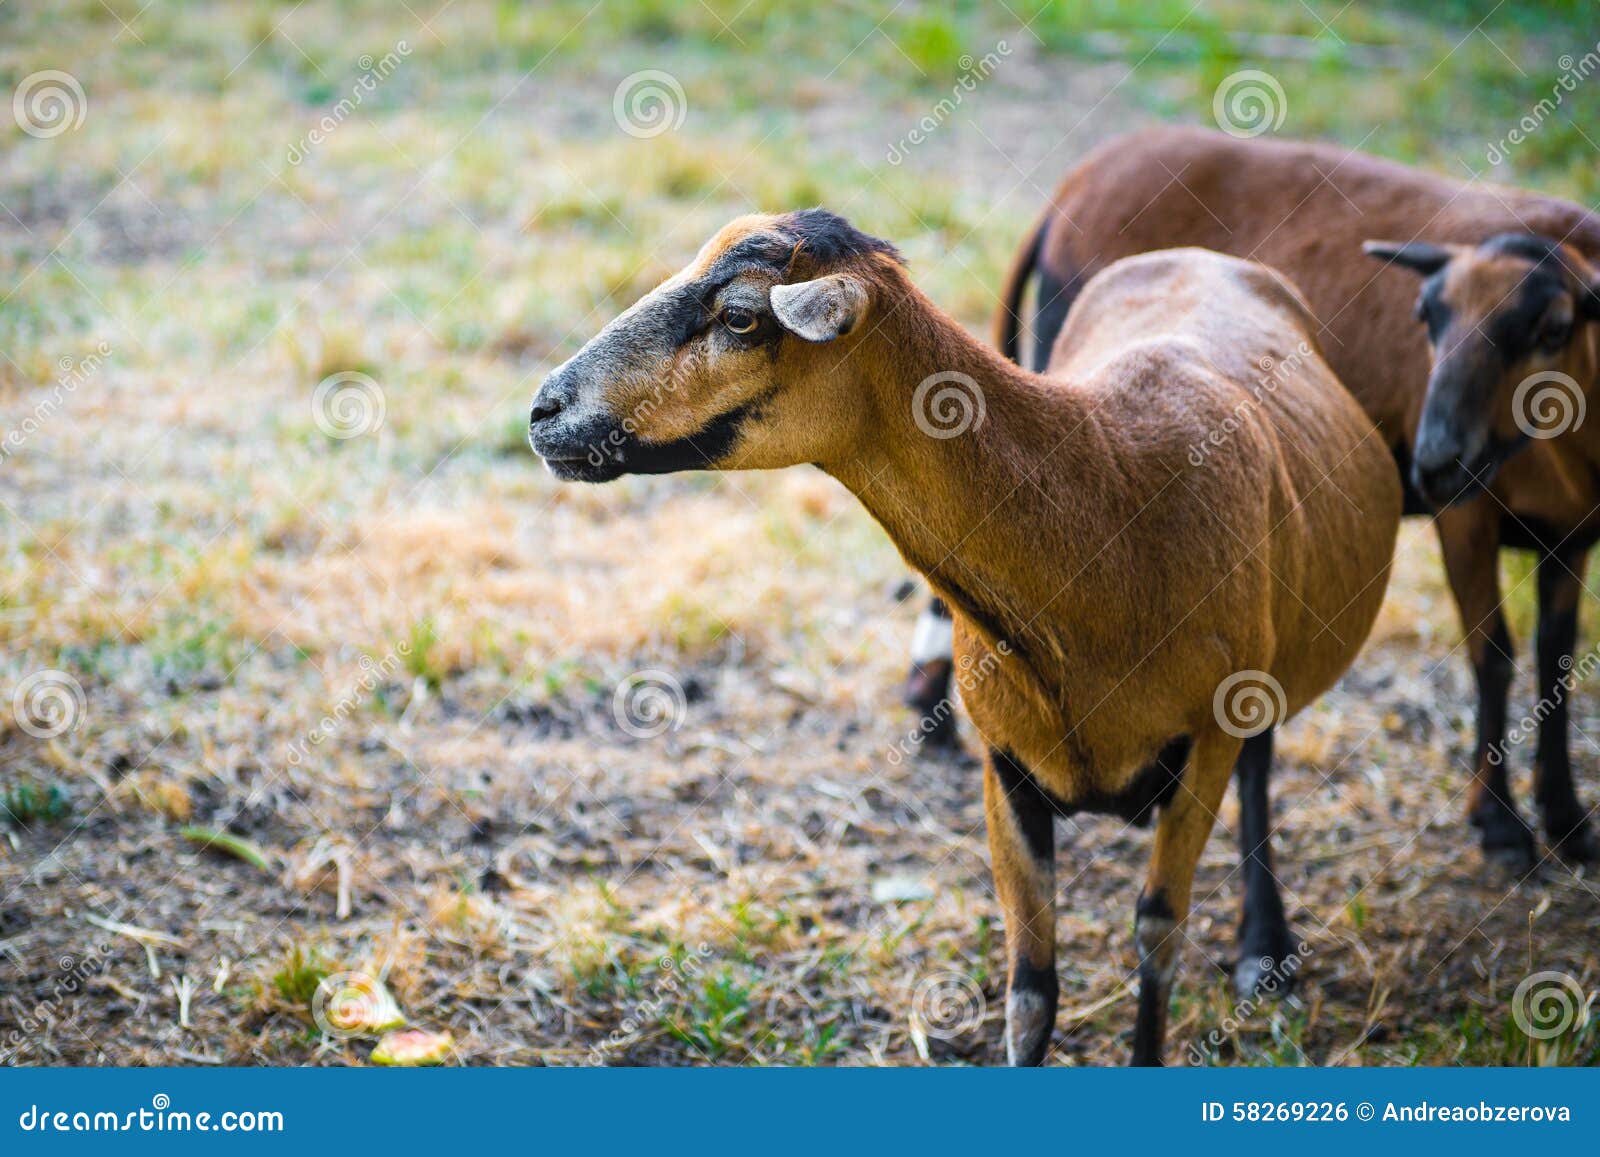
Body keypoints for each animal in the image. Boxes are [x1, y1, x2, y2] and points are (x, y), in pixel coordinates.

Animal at [526, 209, 1401, 1064]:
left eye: (740, 316)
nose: (543, 411)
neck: (1111, 508)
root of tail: (1202, 255)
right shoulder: (1005, 763)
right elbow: (1030, 989)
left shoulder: (1203, 745)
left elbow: (1157, 933)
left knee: (1259, 767)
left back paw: (1264, 948)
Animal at [909, 125, 1600, 868]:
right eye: (1425, 317)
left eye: (1554, 330)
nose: (1433, 459)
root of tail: (1074, 186)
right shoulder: (1467, 513)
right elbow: (1493, 652)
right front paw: (1501, 825)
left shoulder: (1572, 531)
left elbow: (1556, 657)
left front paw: (1568, 819)